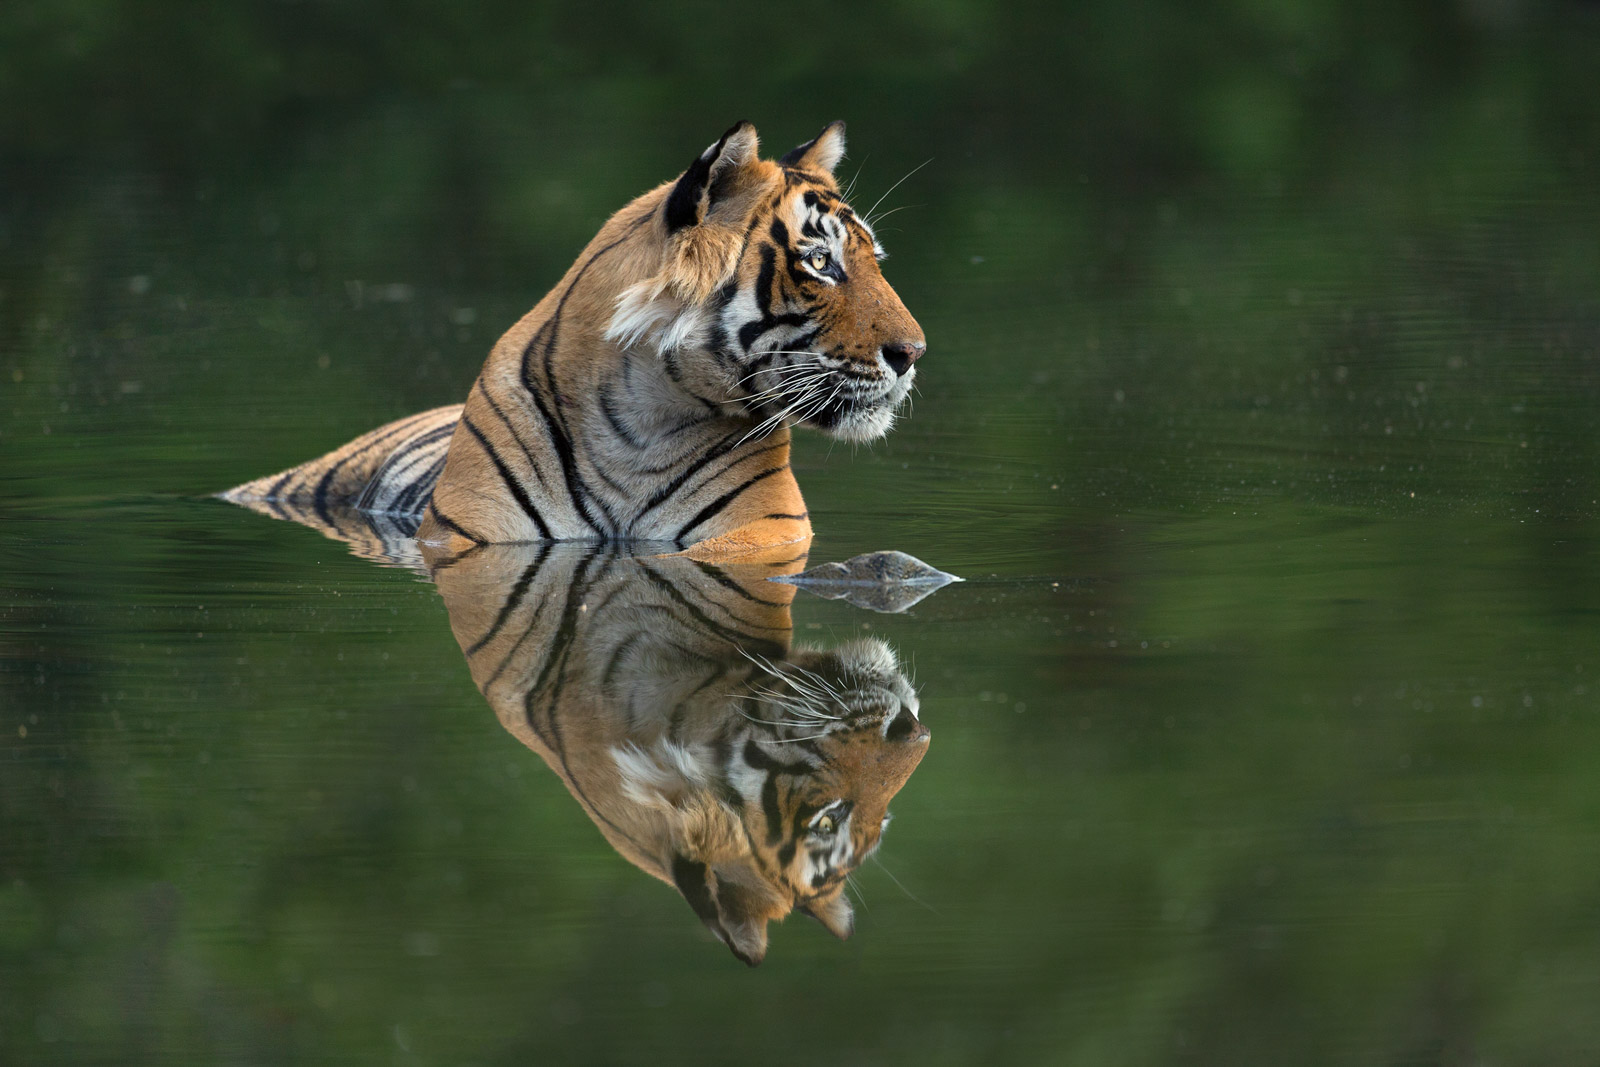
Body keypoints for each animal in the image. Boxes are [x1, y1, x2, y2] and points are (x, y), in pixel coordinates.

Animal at [222, 121, 926, 562]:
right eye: (821, 263)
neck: (645, 423)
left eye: (872, 259)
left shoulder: (765, 533)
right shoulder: (471, 535)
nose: (913, 353)